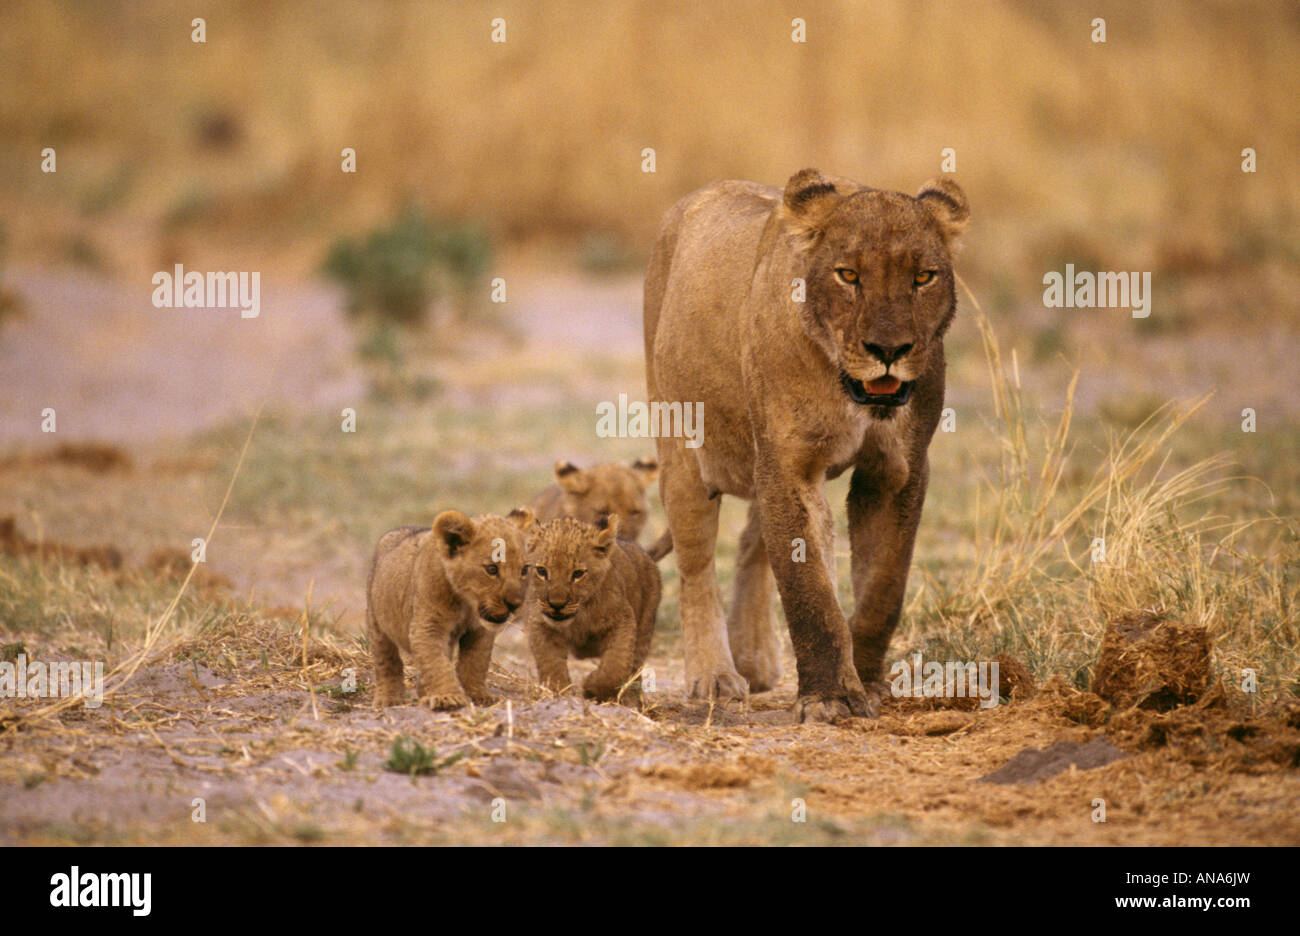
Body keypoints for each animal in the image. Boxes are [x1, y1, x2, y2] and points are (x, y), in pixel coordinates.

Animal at [366, 507, 534, 710]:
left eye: (524, 570)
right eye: (492, 569)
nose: (515, 604)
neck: (466, 604)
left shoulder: (479, 631)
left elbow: (475, 663)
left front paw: (477, 695)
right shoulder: (428, 627)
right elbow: (437, 663)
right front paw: (447, 697)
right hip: (377, 623)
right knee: (387, 661)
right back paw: (389, 698)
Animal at [523, 514, 661, 703]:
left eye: (578, 574)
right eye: (542, 571)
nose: (556, 605)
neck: (578, 617)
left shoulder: (622, 620)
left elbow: (616, 665)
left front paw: (591, 687)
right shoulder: (540, 622)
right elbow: (550, 661)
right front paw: (558, 692)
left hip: (644, 629)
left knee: (634, 670)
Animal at [644, 168, 969, 722]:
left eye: (924, 277)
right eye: (848, 275)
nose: (888, 350)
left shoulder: (899, 469)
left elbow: (883, 586)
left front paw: (869, 683)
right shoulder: (789, 464)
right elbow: (809, 588)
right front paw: (830, 695)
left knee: (752, 543)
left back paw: (754, 659)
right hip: (682, 450)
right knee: (696, 569)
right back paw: (715, 677)